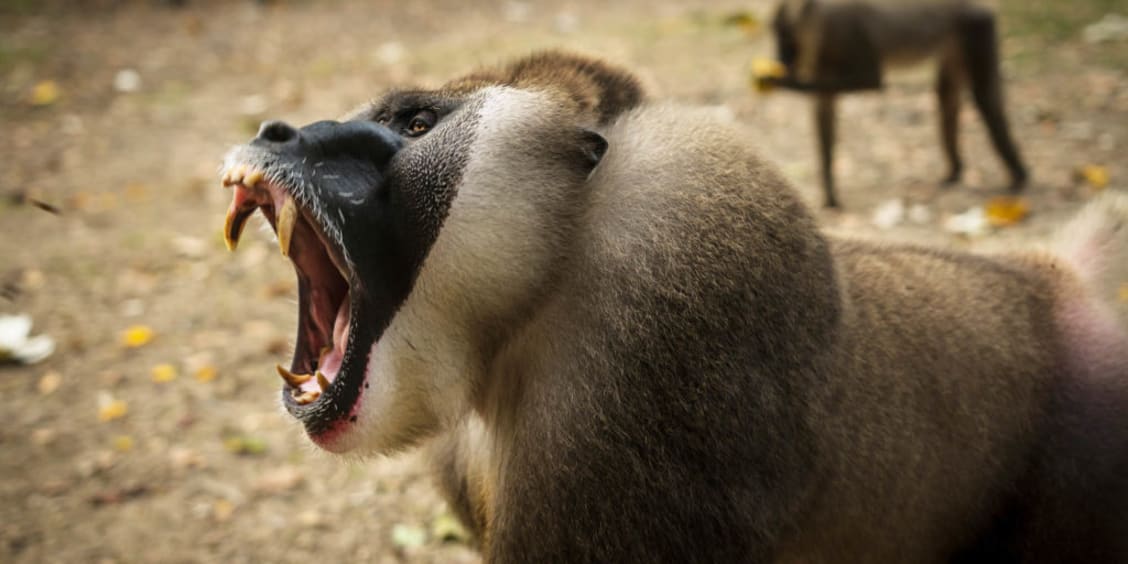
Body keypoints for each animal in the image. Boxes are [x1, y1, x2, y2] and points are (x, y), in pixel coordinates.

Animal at [763, 0, 1029, 208]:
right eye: (776, 36)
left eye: (785, 37)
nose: (780, 57)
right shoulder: (823, 56)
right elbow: (824, 109)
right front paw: (830, 195)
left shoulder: (844, 31)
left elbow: (871, 81)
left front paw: (782, 81)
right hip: (955, 44)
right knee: (946, 96)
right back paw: (955, 171)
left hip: (976, 27)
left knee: (985, 98)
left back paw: (1019, 175)